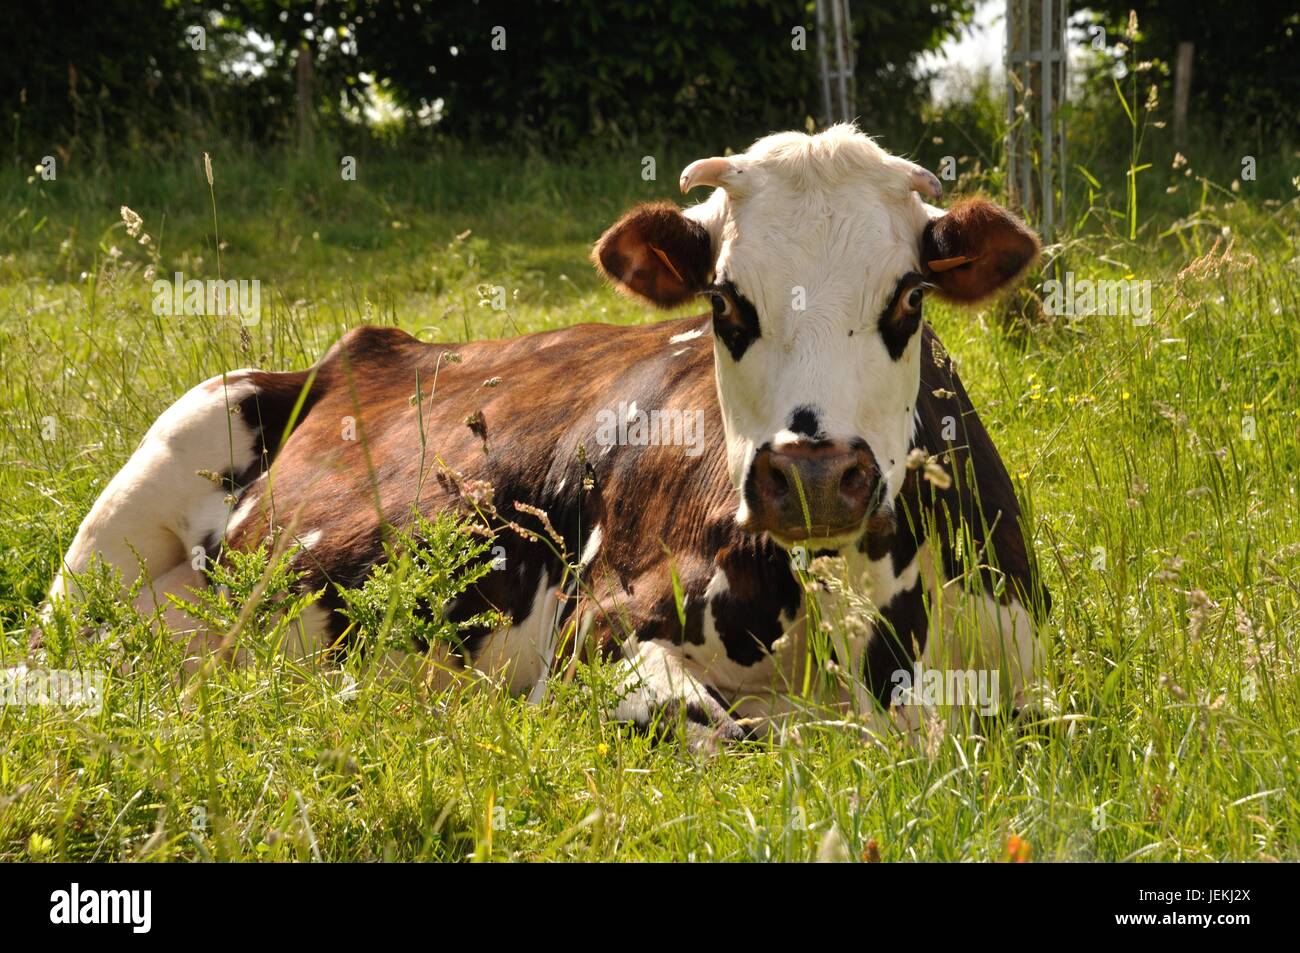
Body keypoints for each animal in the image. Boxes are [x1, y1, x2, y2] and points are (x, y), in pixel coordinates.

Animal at [42, 124, 1049, 747]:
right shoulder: (596, 629)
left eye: (908, 297)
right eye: (726, 301)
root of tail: (366, 344)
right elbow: (735, 735)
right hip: (155, 474)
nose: (810, 474)